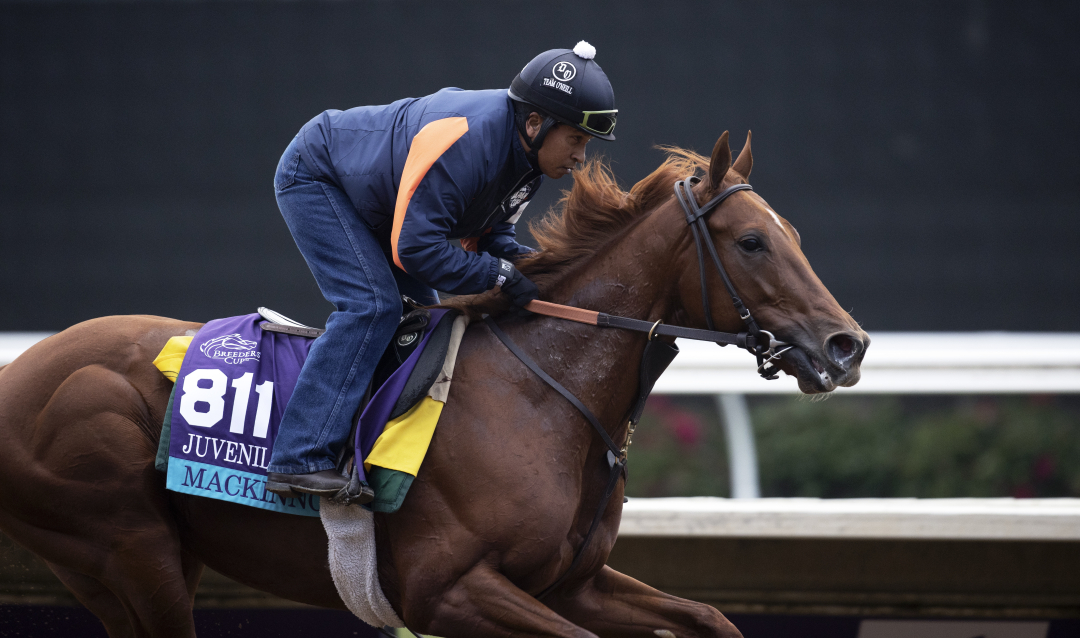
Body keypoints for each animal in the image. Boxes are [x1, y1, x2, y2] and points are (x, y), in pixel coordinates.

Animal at [0, 131, 868, 637]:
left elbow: (712, 618)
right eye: (751, 241)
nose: (847, 344)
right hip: (125, 544)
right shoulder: (446, 590)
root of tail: (21, 372)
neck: (540, 397)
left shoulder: (572, 583)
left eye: (791, 234)